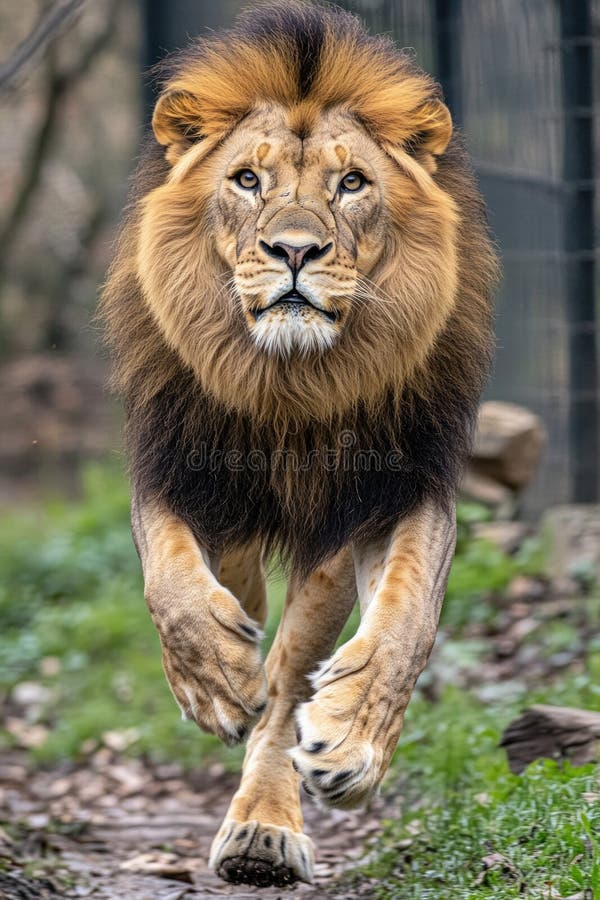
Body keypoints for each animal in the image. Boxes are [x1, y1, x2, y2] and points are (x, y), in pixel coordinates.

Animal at [100, 0, 497, 888]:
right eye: (248, 180)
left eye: (352, 184)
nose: (293, 250)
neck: (290, 388)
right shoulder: (174, 462)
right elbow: (172, 584)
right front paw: (213, 676)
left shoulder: (394, 488)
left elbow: (405, 623)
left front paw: (352, 741)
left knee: (288, 678)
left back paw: (263, 830)